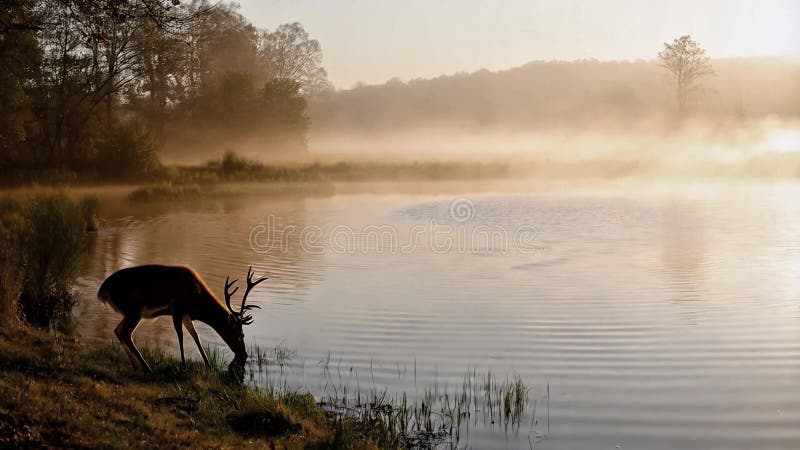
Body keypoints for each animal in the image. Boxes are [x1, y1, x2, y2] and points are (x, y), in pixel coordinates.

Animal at [97, 265, 266, 374]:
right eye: (241, 334)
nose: (244, 354)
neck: (197, 300)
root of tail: (102, 291)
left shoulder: (186, 315)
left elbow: (195, 336)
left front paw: (208, 364)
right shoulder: (177, 308)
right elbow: (181, 336)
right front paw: (184, 366)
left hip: (129, 313)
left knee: (117, 330)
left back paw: (135, 365)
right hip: (134, 310)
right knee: (125, 333)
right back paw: (147, 368)